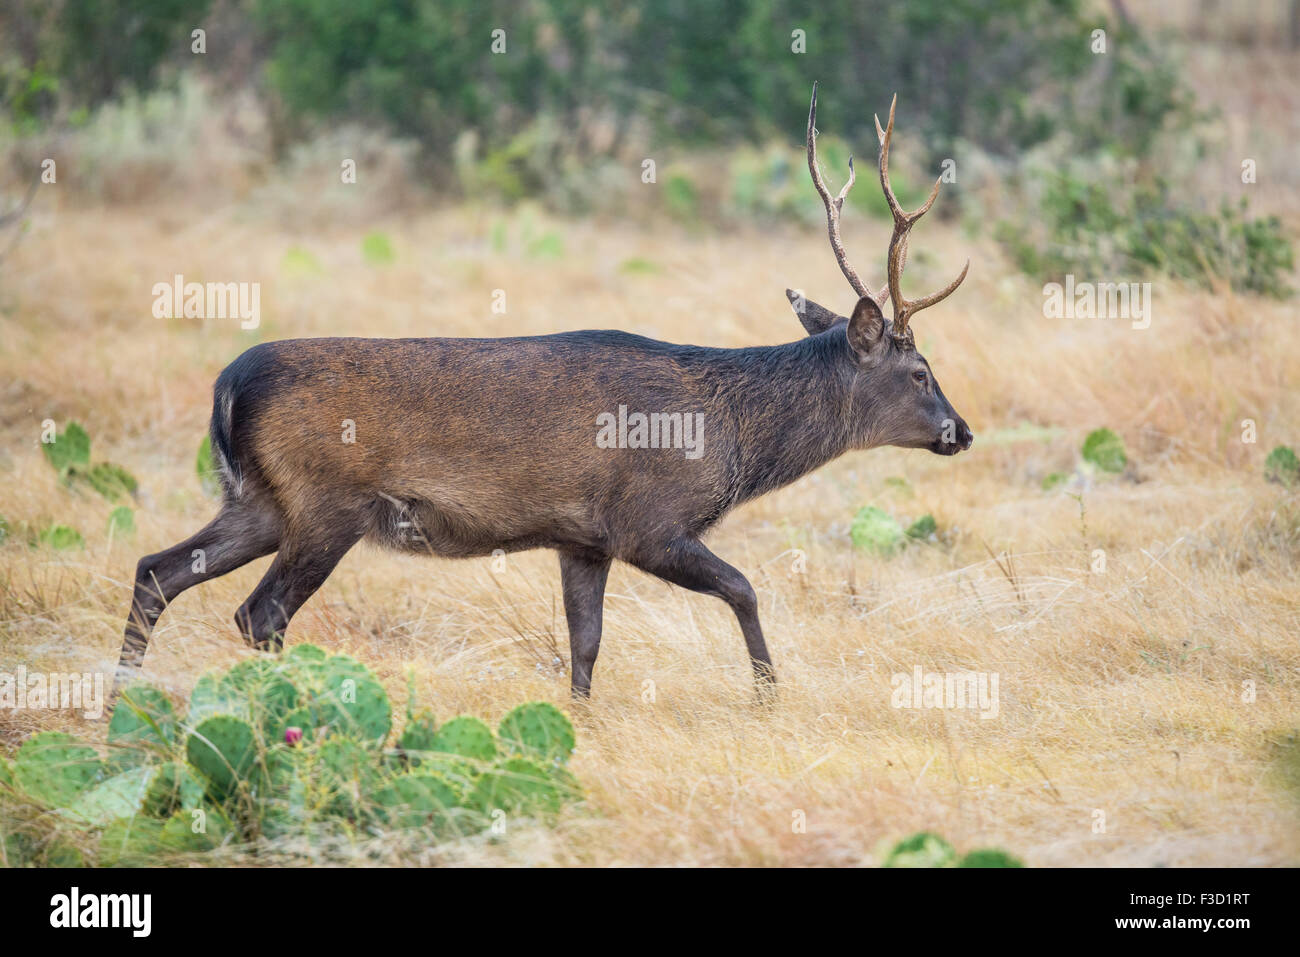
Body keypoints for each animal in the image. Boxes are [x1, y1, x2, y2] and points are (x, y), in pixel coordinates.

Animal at [114, 83, 972, 705]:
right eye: (921, 372)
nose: (961, 431)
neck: (729, 435)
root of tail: (227, 388)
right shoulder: (647, 519)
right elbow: (744, 588)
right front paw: (768, 695)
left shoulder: (581, 537)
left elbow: (584, 642)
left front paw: (580, 718)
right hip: (328, 502)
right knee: (258, 612)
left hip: (259, 500)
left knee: (156, 569)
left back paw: (120, 695)